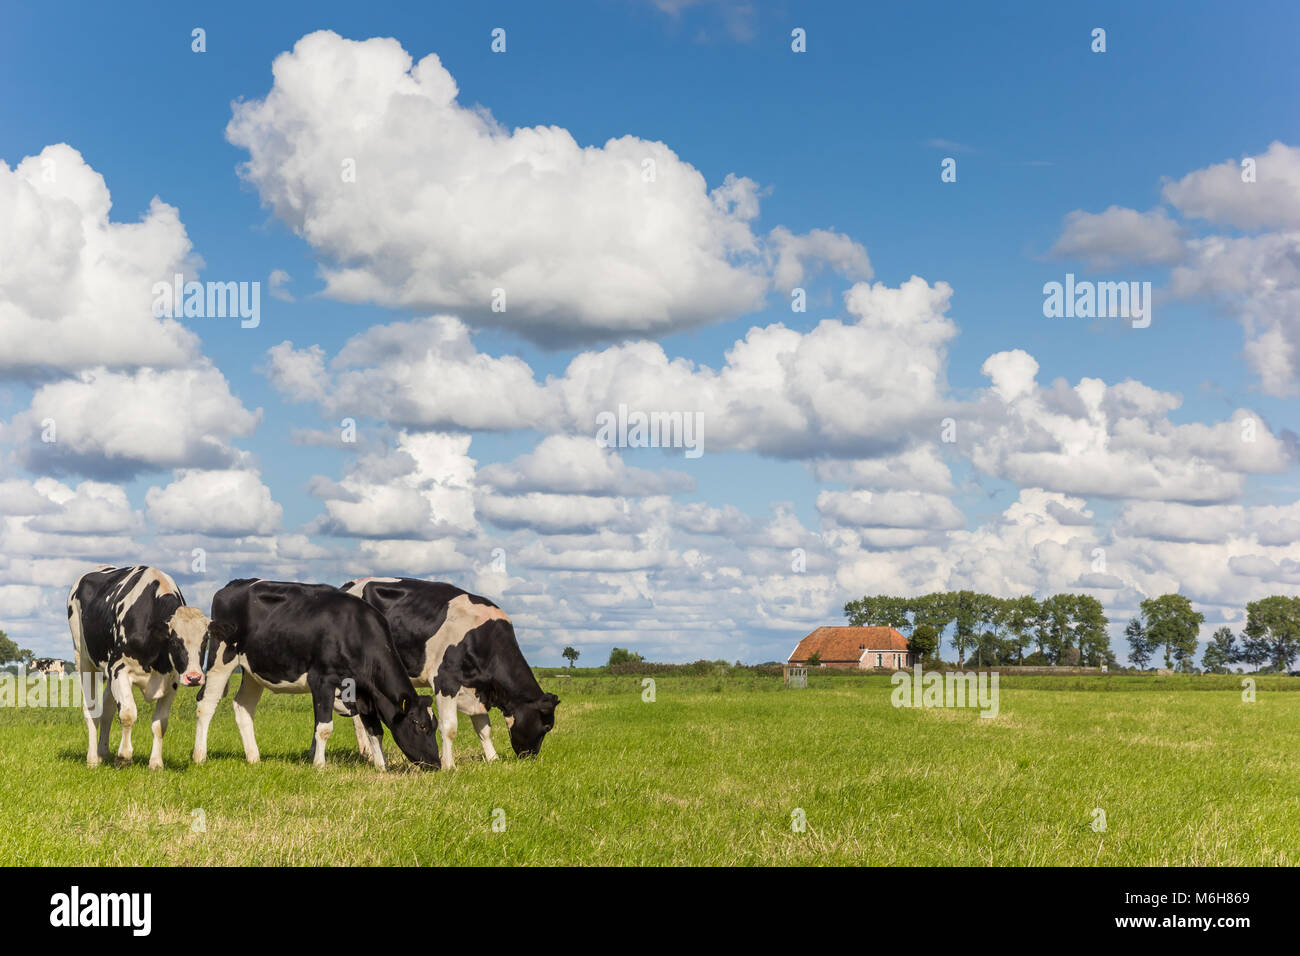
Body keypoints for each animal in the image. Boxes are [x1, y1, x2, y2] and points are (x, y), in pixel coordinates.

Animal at [67, 565, 223, 769]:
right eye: (174, 641)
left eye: (205, 640)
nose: (194, 677)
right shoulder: (119, 669)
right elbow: (128, 714)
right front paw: (124, 757)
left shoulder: (172, 680)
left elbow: (160, 724)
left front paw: (156, 763)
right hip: (83, 659)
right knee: (92, 710)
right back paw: (93, 759)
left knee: (107, 708)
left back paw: (103, 753)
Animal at [194, 579, 440, 770]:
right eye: (420, 725)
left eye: (434, 725)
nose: (436, 764)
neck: (355, 631)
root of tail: (233, 585)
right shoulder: (323, 680)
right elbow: (323, 728)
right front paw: (320, 765)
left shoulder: (365, 692)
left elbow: (375, 730)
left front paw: (382, 766)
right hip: (221, 658)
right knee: (206, 704)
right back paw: (199, 757)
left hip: (252, 670)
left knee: (243, 706)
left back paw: (254, 757)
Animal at [340, 577, 558, 769]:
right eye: (547, 727)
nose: (530, 756)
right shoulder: (445, 681)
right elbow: (450, 727)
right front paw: (449, 765)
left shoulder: (478, 690)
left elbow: (484, 728)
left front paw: (493, 759)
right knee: (359, 719)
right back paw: (368, 754)